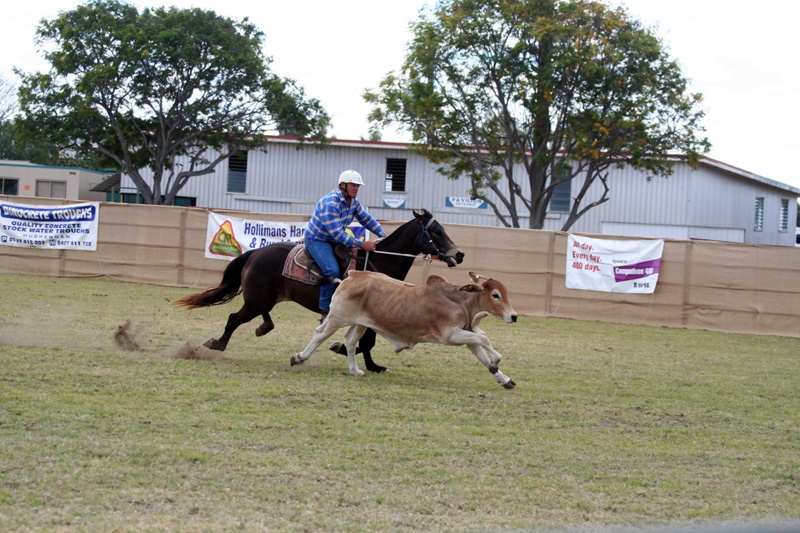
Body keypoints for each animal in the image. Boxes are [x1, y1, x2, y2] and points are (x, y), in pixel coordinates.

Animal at [174, 209, 464, 372]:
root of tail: (255, 252)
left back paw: (262, 327)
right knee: (234, 318)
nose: (459, 254)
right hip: (256, 300)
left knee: (258, 316)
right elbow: (366, 342)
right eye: (436, 232)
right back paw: (217, 344)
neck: (379, 262)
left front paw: (368, 364)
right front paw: (355, 357)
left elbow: (366, 341)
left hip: (263, 299)